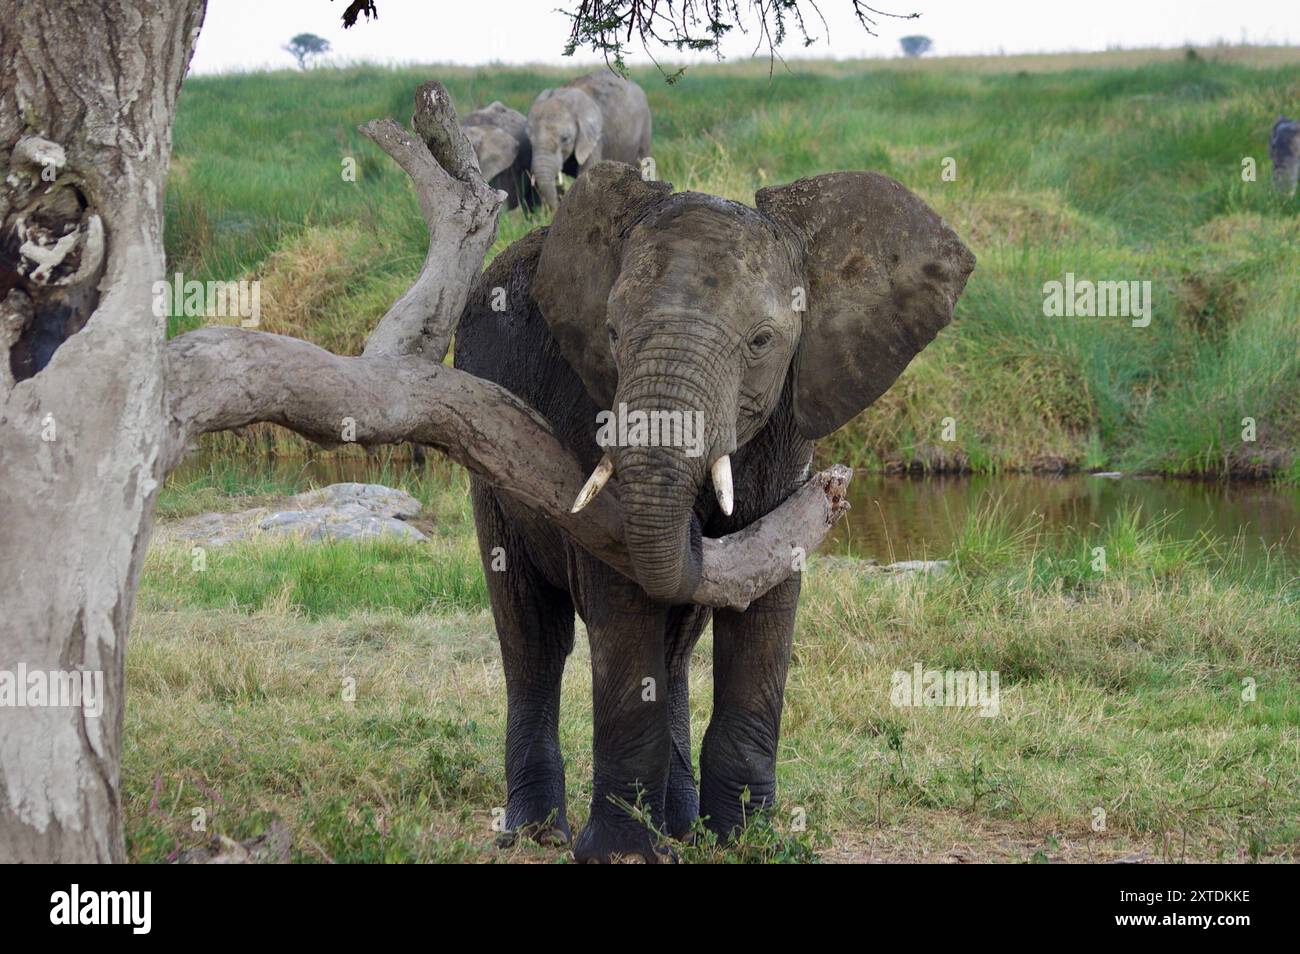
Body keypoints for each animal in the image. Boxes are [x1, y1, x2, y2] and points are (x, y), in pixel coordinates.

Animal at [453, 161, 975, 862]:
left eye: (762, 341)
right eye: (611, 333)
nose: (702, 528)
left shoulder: (790, 424)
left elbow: (766, 599)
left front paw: (745, 838)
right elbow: (622, 600)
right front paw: (623, 852)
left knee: (672, 650)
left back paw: (680, 827)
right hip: (488, 467)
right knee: (533, 637)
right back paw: (537, 833)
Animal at [526, 72, 652, 210]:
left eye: (565, 139)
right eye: (529, 138)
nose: (558, 204)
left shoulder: (594, 137)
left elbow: (586, 171)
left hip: (645, 126)